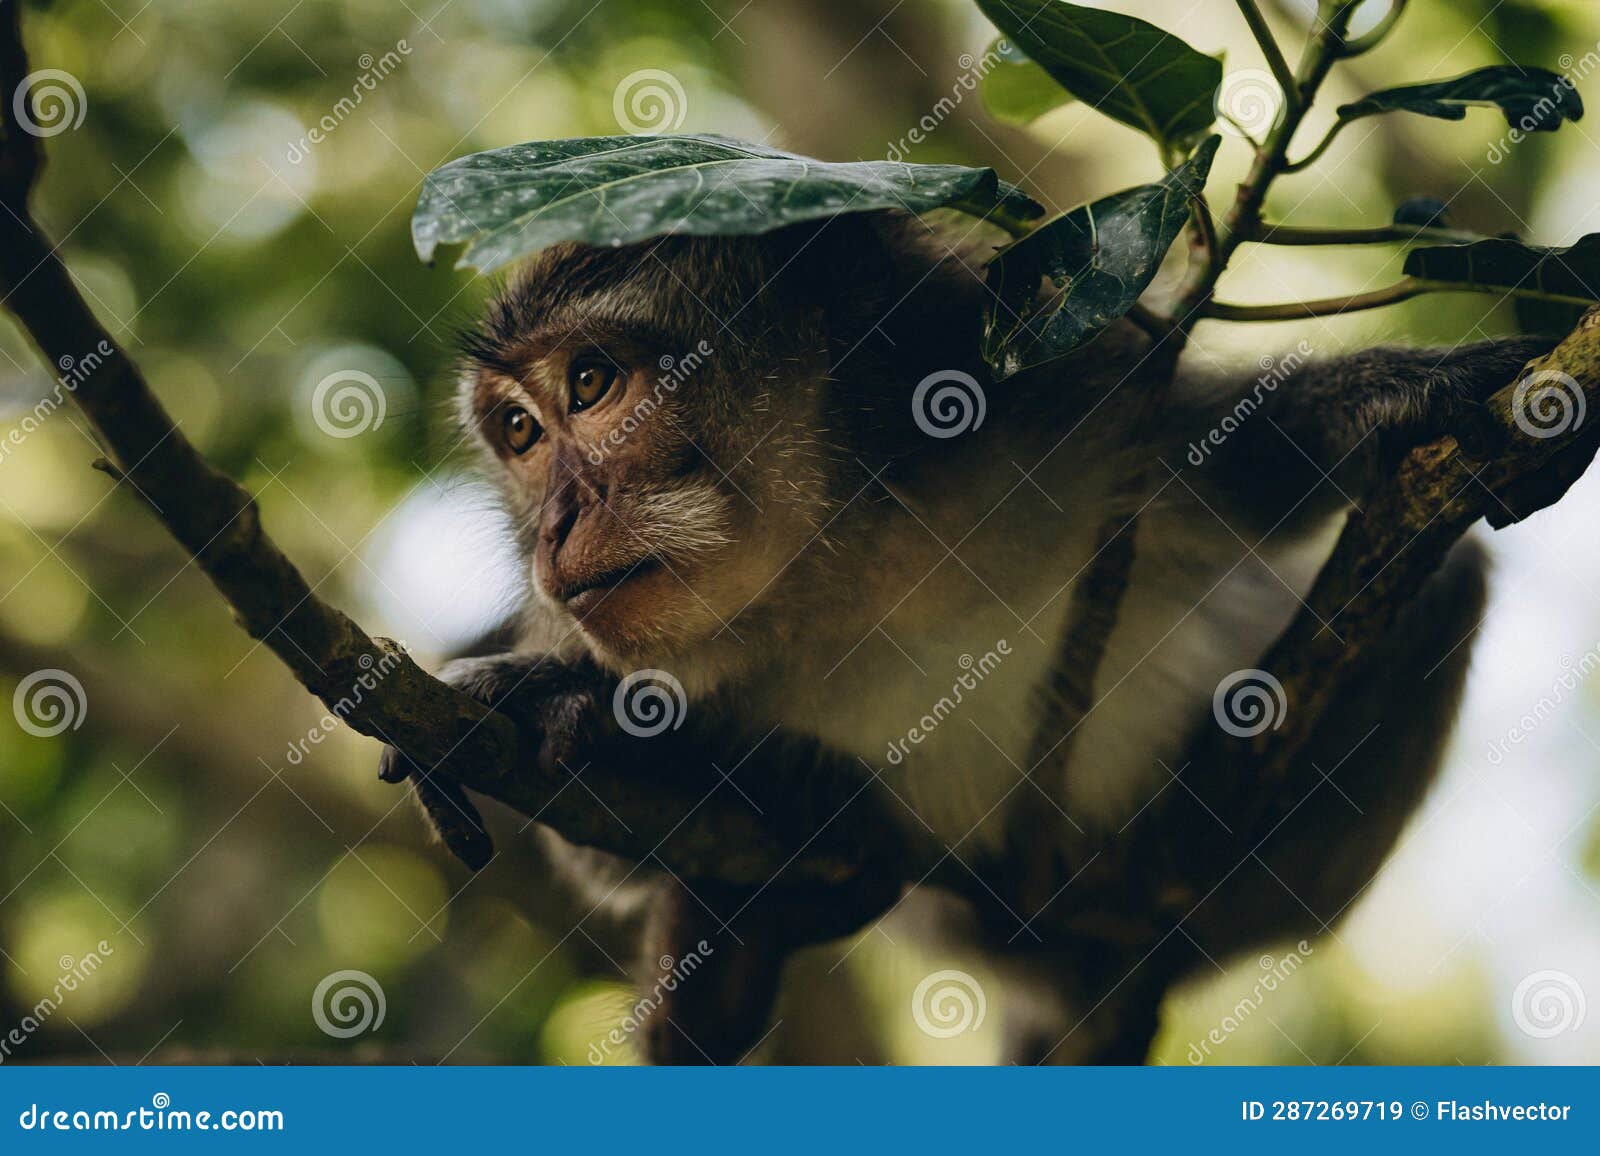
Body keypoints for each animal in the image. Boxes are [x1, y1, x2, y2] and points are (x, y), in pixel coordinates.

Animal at [377, 209, 1558, 1064]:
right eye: (518, 434)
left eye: (590, 384)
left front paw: (1393, 396)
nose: (551, 526)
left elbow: (1242, 458)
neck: (841, 562)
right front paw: (589, 715)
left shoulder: (1067, 392)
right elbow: (595, 851)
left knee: (1447, 581)